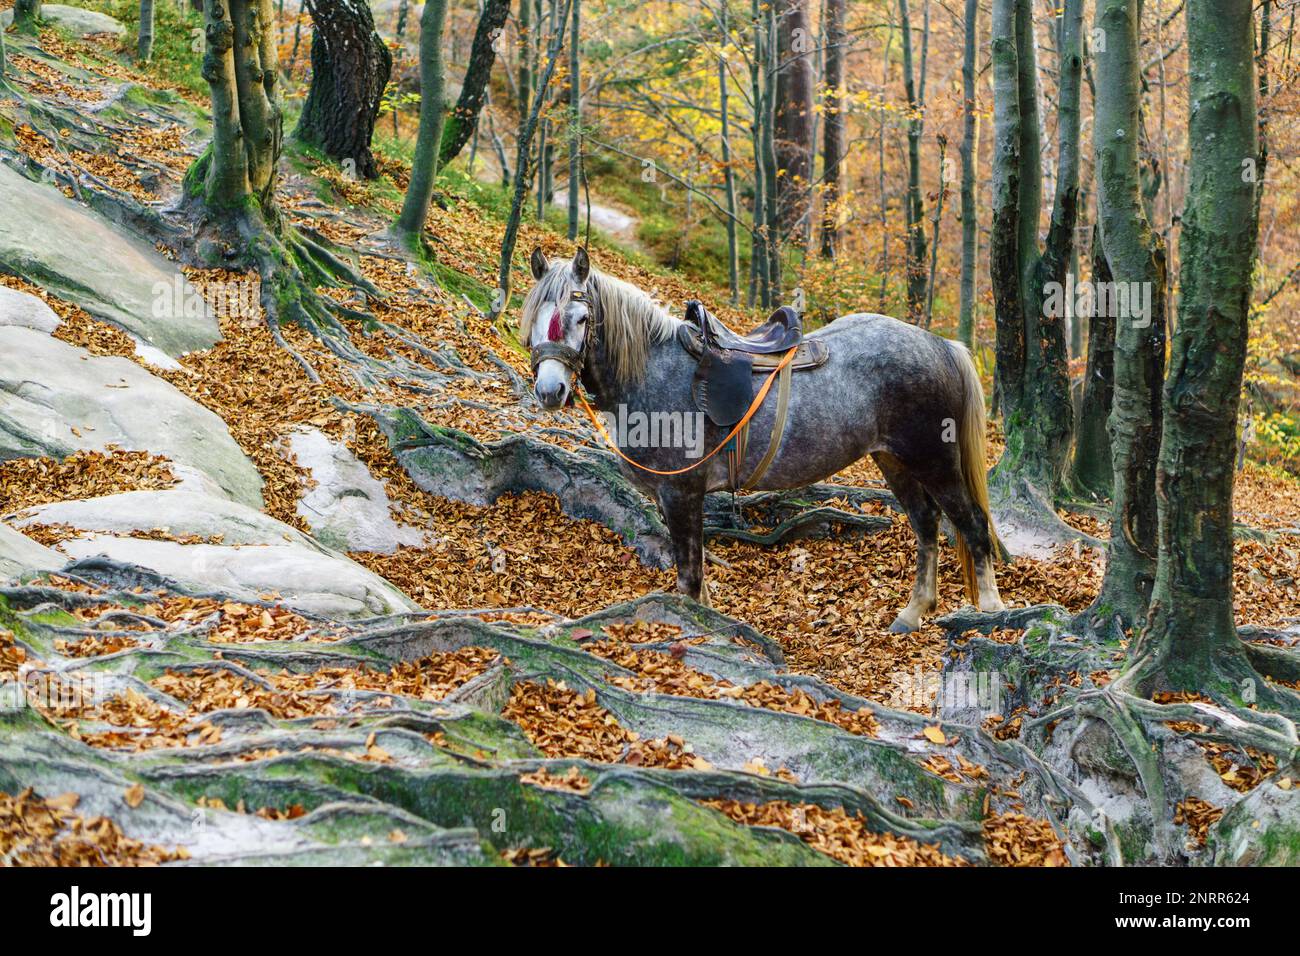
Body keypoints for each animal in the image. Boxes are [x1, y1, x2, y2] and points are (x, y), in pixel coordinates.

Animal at [520, 246, 1005, 632]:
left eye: (581, 318)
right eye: (534, 319)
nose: (550, 391)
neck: (654, 371)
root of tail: (941, 345)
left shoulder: (682, 493)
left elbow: (689, 578)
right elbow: (695, 576)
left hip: (934, 460)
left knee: (971, 522)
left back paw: (991, 610)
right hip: (895, 462)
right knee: (926, 524)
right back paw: (914, 611)